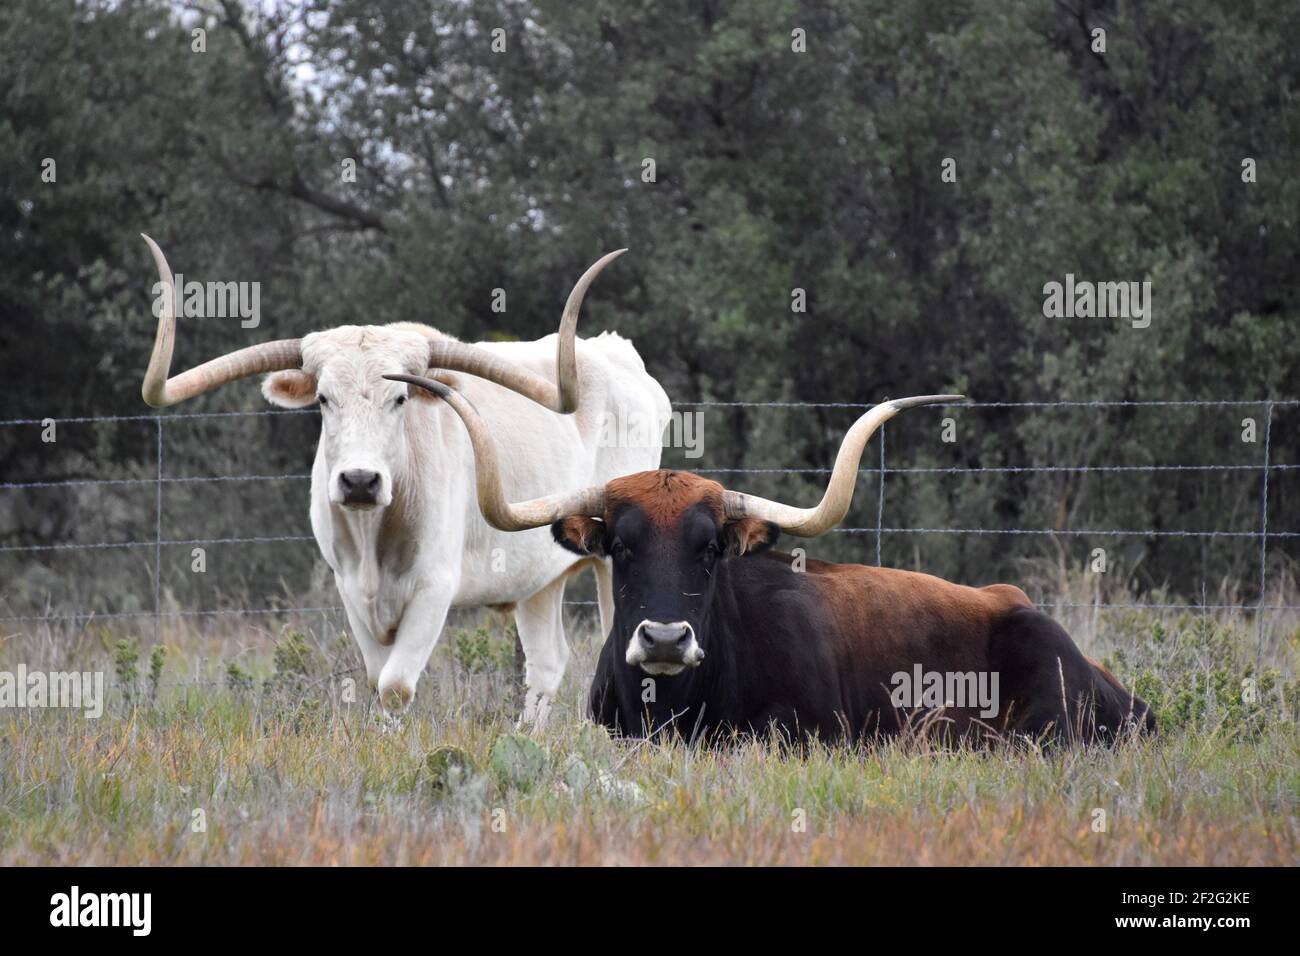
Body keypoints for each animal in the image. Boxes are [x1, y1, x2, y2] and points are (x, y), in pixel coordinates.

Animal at [139, 235, 670, 724]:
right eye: (324, 398)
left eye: (400, 398)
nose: (359, 480)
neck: (374, 536)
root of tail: (616, 354)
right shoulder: (349, 587)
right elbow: (378, 680)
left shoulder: (434, 587)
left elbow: (395, 685)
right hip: (539, 577)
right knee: (546, 663)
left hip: (611, 560)